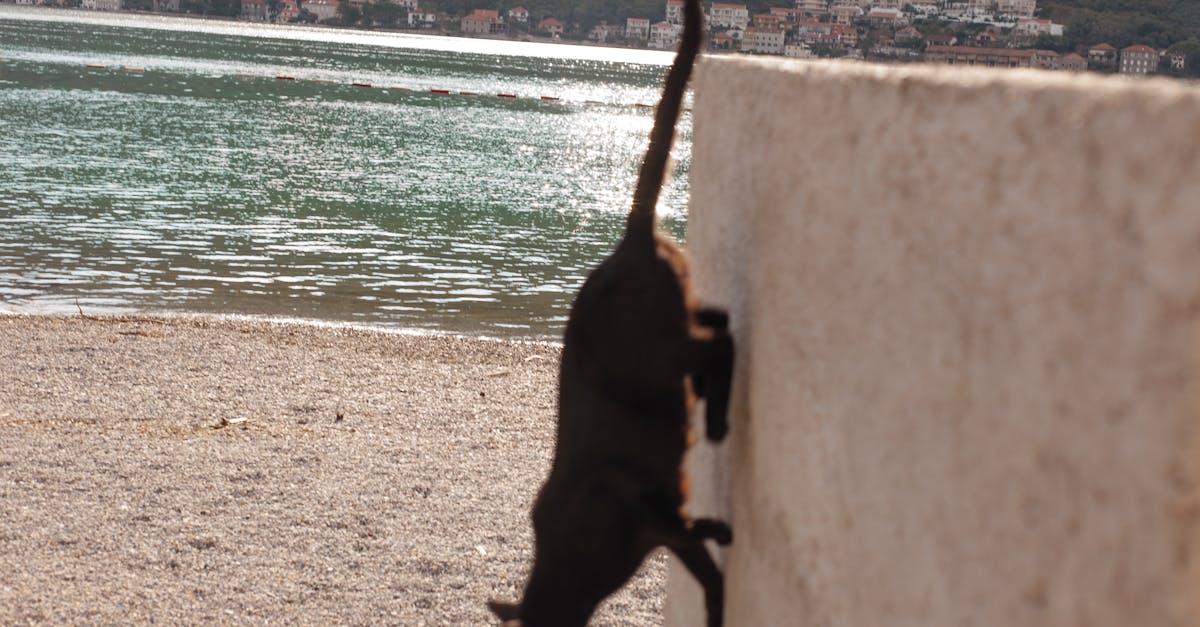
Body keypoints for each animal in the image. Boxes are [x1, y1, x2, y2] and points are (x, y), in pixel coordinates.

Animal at [484, 0, 729, 619]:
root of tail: (628, 239)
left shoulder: (650, 513)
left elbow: (702, 552)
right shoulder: (664, 526)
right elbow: (707, 569)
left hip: (662, 353)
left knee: (721, 346)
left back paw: (717, 422)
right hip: (678, 327)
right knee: (717, 324)